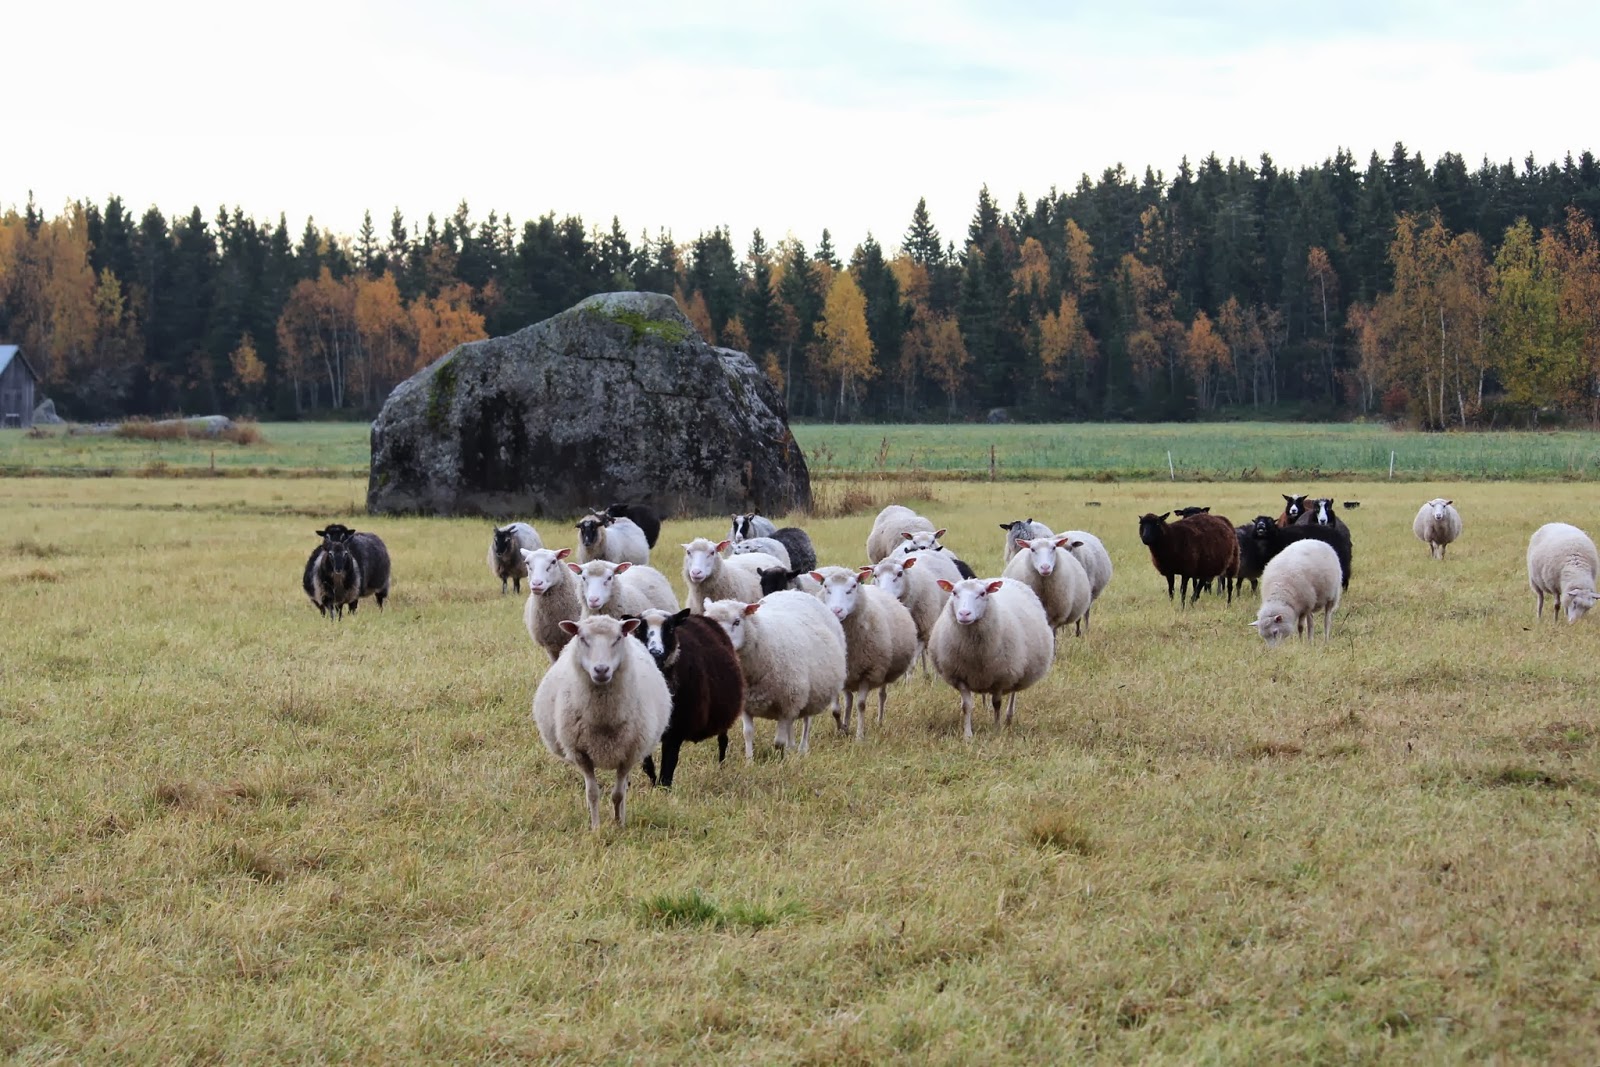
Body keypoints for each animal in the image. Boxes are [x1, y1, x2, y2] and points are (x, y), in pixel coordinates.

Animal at [532, 615, 672, 830]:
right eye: (582, 638)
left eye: (618, 638)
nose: (601, 669)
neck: (603, 719)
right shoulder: (581, 754)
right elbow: (592, 794)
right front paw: (595, 828)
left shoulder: (628, 754)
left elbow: (618, 794)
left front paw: (618, 825)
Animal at [628, 607, 744, 789]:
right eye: (639, 629)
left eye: (670, 629)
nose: (656, 653)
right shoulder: (645, 728)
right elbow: (648, 765)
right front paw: (653, 785)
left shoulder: (677, 729)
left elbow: (668, 767)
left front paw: (664, 790)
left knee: (723, 741)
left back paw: (721, 768)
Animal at [701, 591, 848, 757]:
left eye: (737, 622)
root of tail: (794, 591)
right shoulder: (747, 704)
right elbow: (748, 734)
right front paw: (749, 759)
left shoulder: (787, 703)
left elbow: (778, 742)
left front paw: (780, 759)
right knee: (792, 724)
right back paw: (791, 748)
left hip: (813, 692)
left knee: (806, 722)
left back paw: (802, 750)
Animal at [811, 566, 918, 740]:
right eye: (825, 586)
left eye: (853, 586)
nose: (836, 611)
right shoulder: (836, 672)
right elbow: (835, 710)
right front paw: (842, 730)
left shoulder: (868, 672)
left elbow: (861, 705)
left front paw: (859, 736)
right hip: (848, 675)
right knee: (848, 700)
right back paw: (846, 724)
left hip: (883, 672)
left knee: (882, 695)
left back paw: (879, 721)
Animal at [927, 577, 1054, 739]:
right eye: (954, 592)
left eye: (982, 593)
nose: (964, 614)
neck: (974, 650)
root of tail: (1006, 579)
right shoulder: (960, 676)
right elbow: (966, 706)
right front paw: (967, 735)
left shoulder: (1000, 677)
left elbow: (997, 704)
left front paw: (996, 730)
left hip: (1017, 669)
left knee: (1013, 694)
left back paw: (1008, 718)